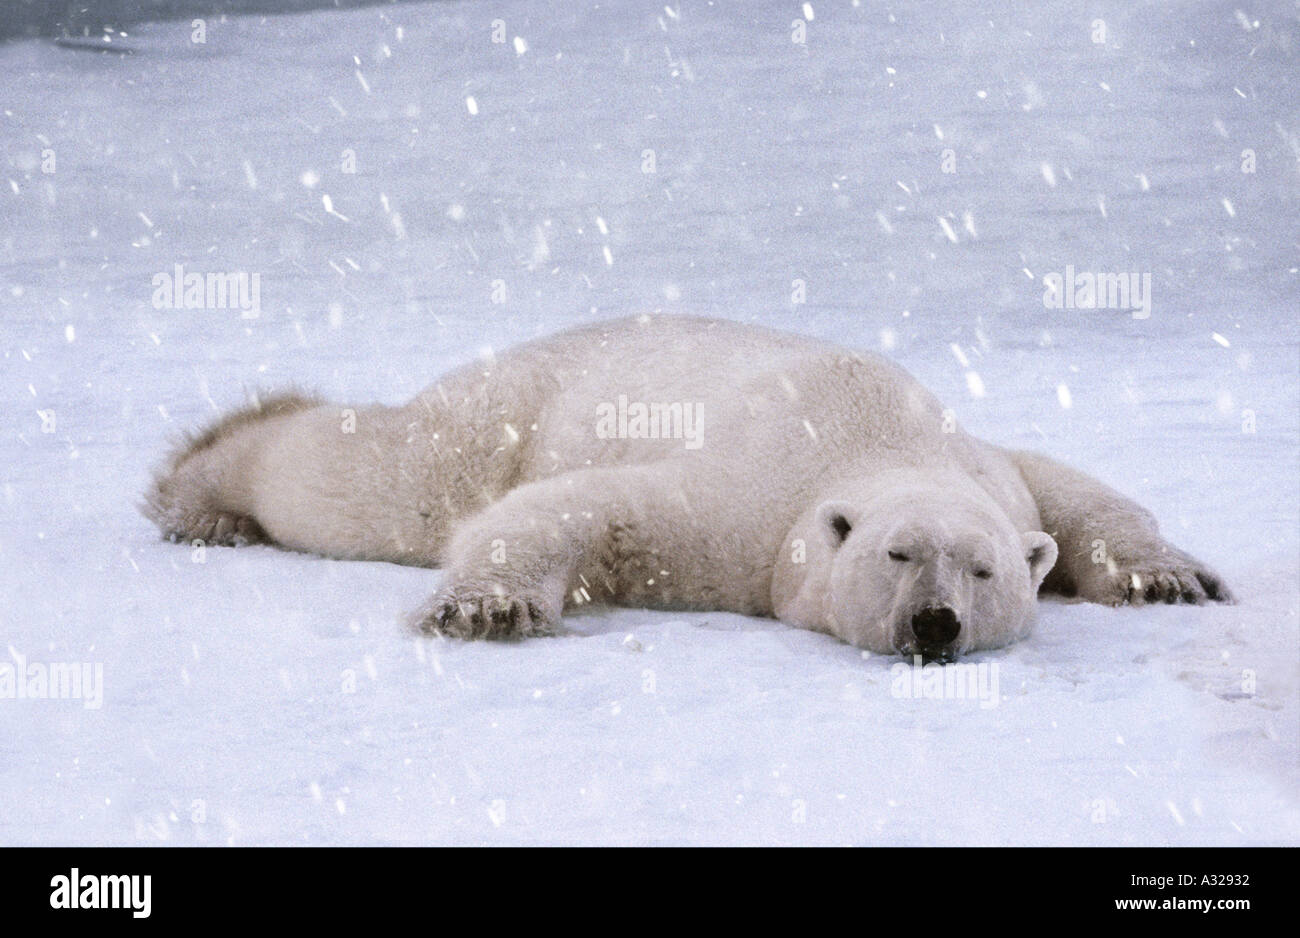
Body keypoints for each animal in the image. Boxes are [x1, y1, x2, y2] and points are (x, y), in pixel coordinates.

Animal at [142, 314, 1232, 660]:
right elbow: (594, 505)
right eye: (897, 554)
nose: (934, 622)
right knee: (384, 478)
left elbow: (1075, 488)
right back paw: (201, 492)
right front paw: (486, 607)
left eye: (984, 569)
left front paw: (1170, 579)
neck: (883, 437)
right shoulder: (749, 504)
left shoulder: (995, 472)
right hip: (508, 406)